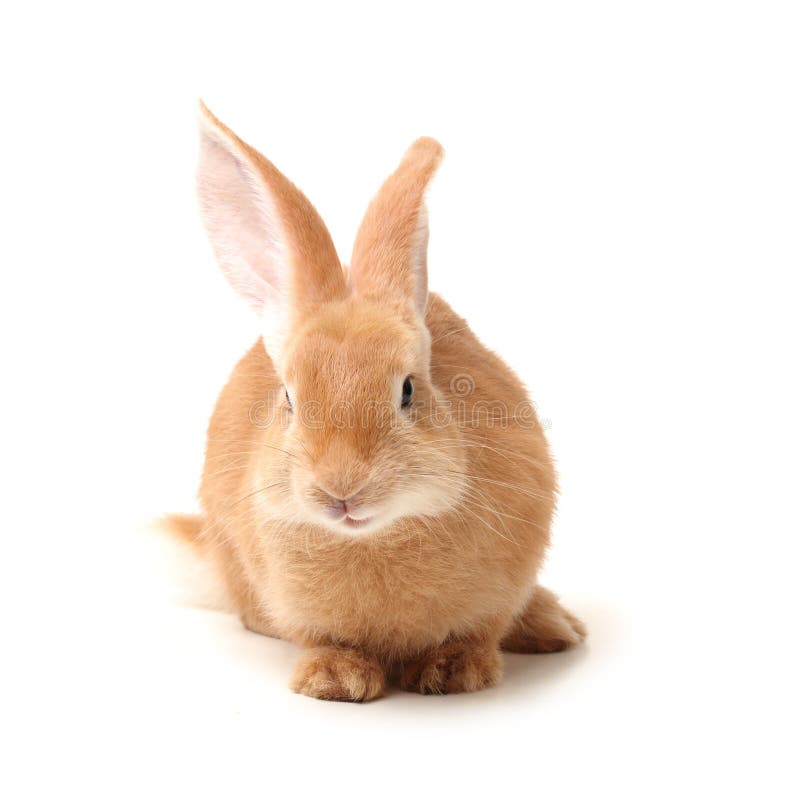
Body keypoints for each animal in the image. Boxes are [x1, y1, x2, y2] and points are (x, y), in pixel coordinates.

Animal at [166, 102, 585, 702]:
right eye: (289, 399)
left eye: (407, 390)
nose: (342, 490)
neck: (372, 538)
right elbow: (322, 640)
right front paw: (335, 680)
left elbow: (480, 631)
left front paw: (454, 672)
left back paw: (558, 626)